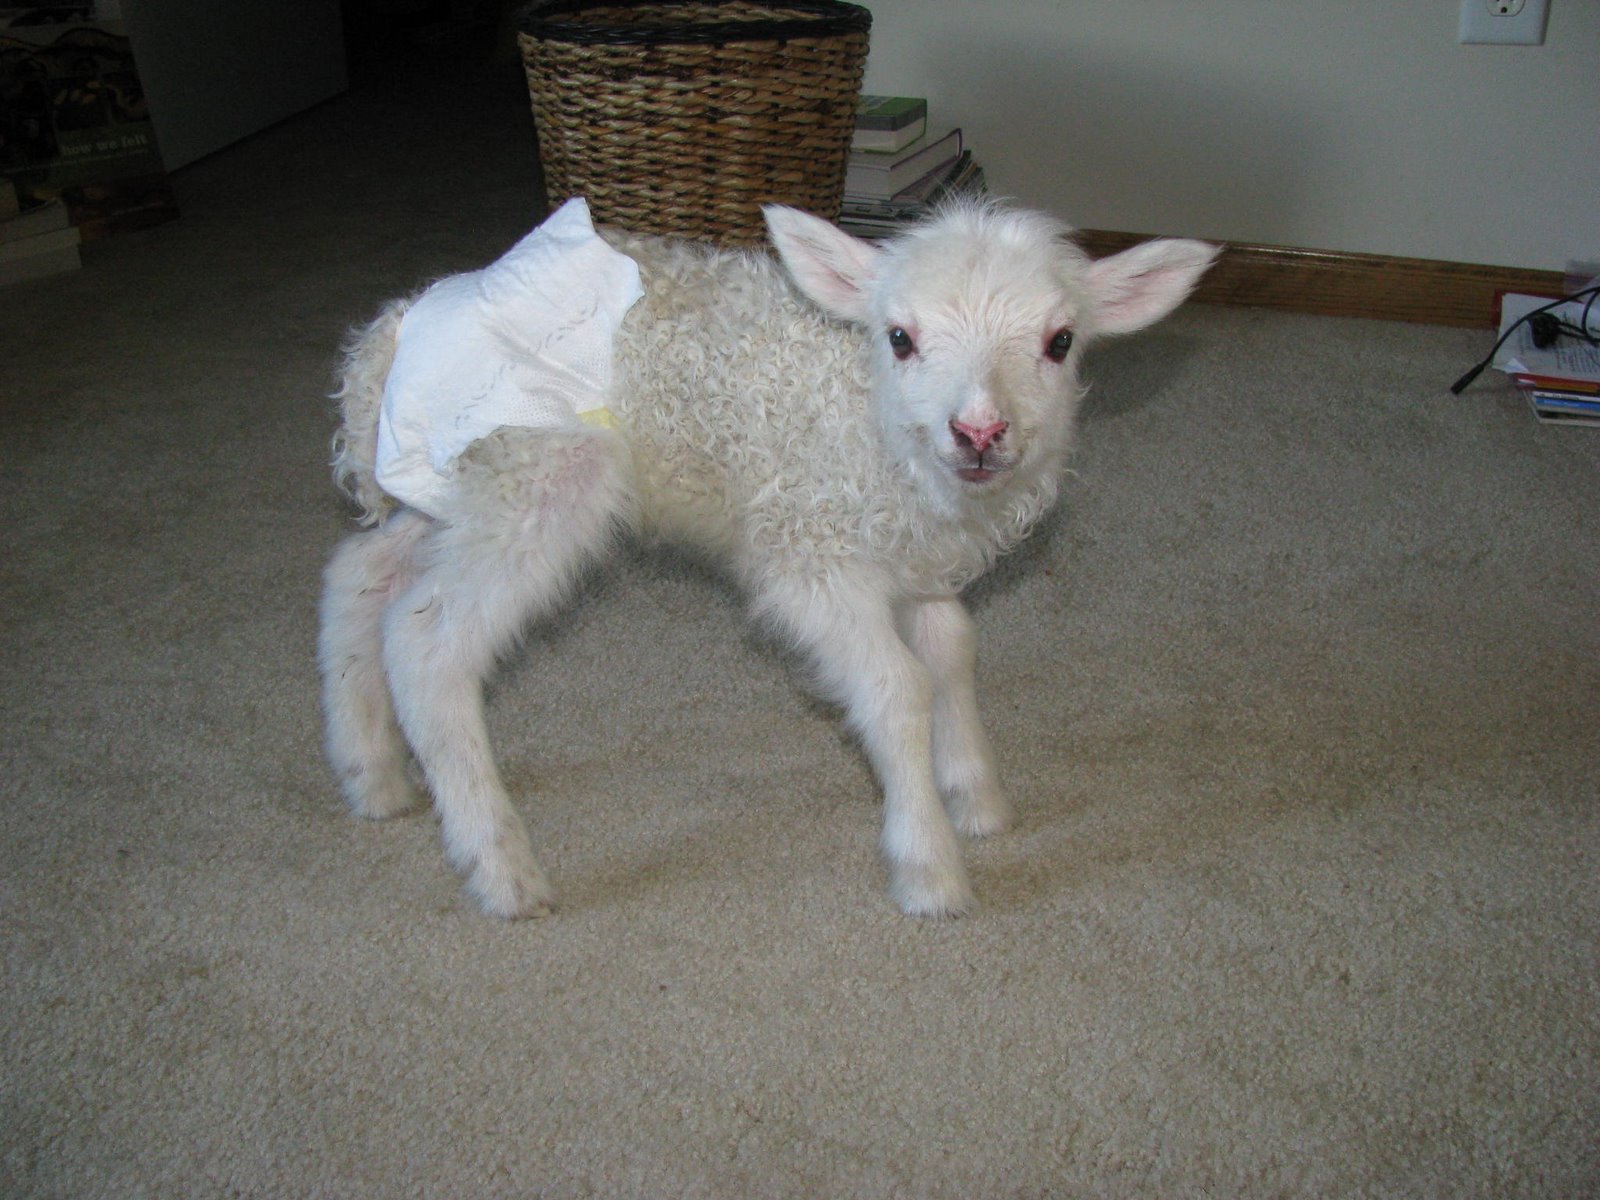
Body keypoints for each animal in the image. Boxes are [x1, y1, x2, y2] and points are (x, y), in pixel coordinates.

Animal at [318, 199, 1216, 919]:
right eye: (901, 338)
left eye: (1060, 343)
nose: (979, 432)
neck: (867, 411)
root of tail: (385, 341)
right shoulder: (810, 555)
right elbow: (897, 688)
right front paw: (928, 866)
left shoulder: (913, 558)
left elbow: (953, 652)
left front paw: (976, 796)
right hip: (534, 468)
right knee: (425, 643)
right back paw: (501, 870)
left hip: (447, 485)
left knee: (359, 578)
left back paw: (374, 776)